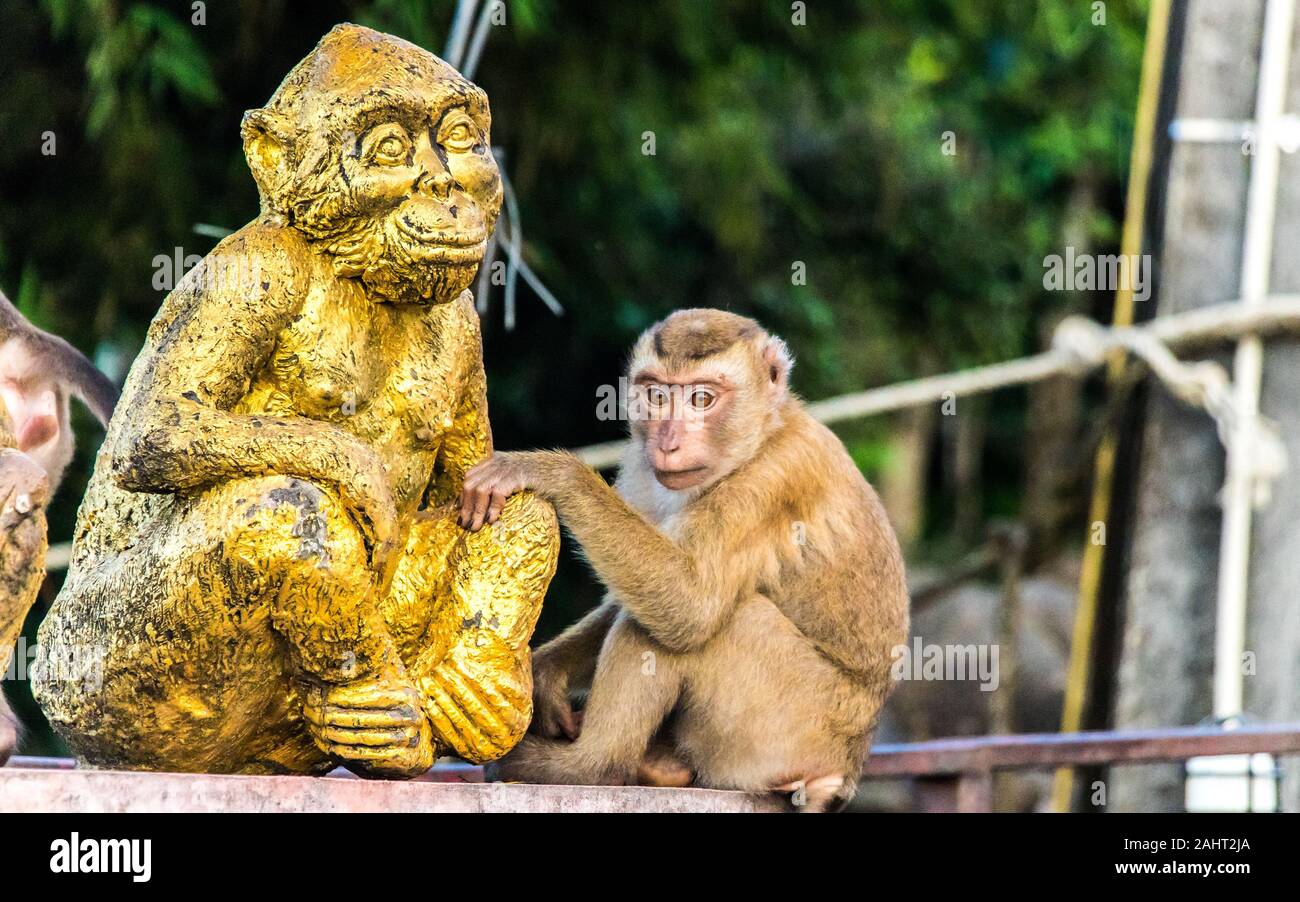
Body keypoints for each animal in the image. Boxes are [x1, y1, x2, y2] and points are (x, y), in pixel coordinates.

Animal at [460, 309, 910, 811]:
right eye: (657, 396)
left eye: (702, 399)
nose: (668, 442)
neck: (762, 437)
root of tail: (842, 771)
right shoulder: (641, 466)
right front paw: (547, 672)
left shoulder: (770, 482)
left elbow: (689, 604)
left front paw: (551, 472)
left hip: (790, 726)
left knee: (704, 624)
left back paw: (589, 766)